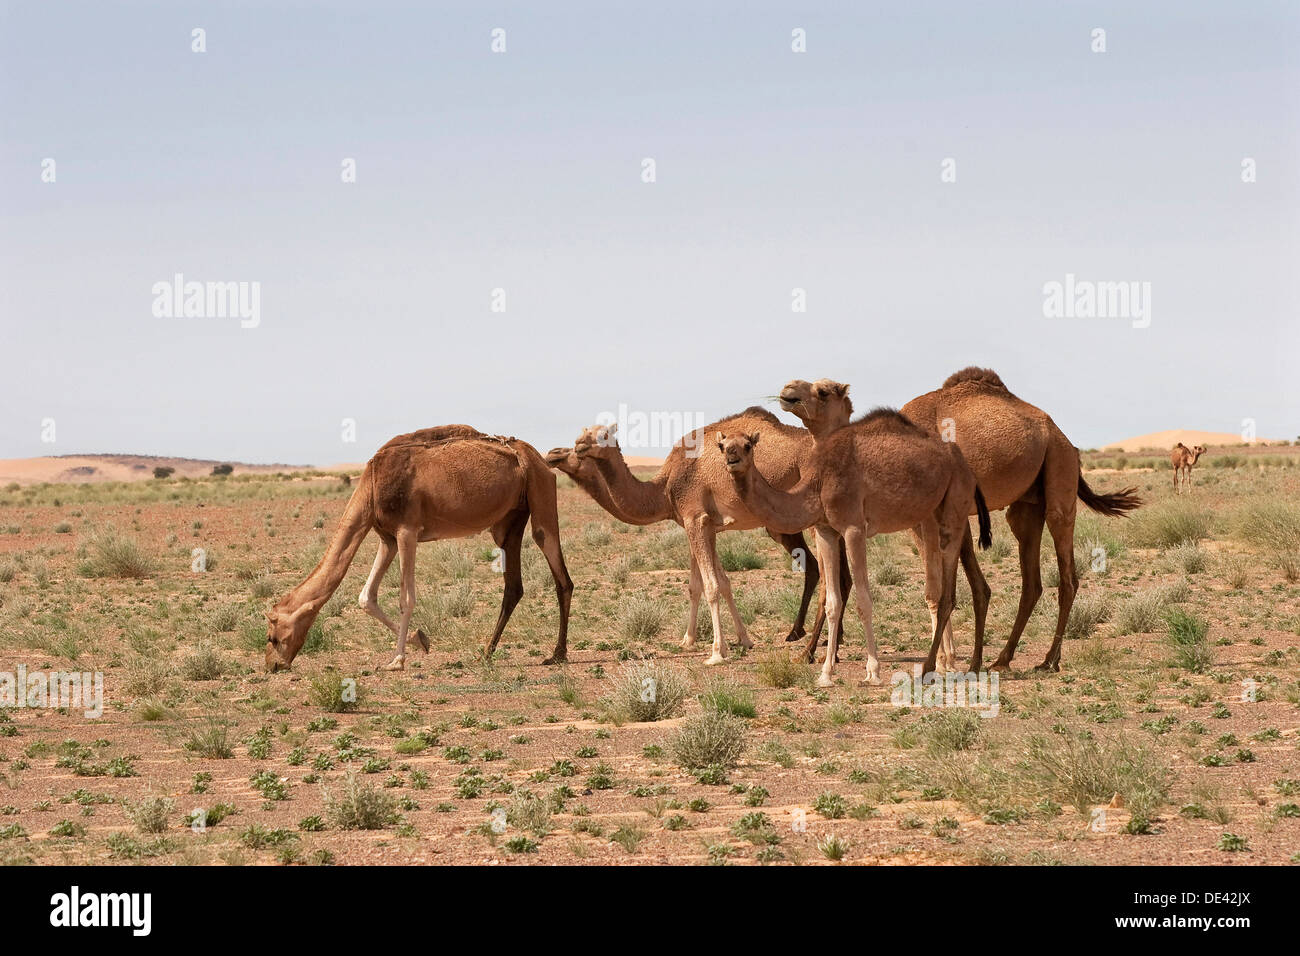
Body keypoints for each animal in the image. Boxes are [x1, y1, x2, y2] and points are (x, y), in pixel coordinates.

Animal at [265, 427, 573, 672]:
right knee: (514, 587)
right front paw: (420, 639)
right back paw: (487, 653)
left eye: (274, 636)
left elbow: (406, 598)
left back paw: (557, 654)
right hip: (511, 519)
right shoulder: (387, 538)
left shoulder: (407, 531)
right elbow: (366, 597)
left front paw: (397, 660)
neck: (371, 487)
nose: (272, 665)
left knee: (558, 570)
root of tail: (538, 458)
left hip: (540, 490)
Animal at [549, 408, 849, 666]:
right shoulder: (703, 525)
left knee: (825, 579)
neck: (664, 488)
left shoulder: (696, 519)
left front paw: (717, 651)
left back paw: (810, 650)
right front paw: (708, 640)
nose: (557, 451)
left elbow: (712, 586)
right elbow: (707, 585)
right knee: (839, 575)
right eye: (582, 434)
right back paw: (829, 645)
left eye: (602, 435)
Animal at [718, 411, 992, 687]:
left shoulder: (853, 528)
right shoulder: (826, 531)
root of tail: (965, 465)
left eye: (747, 445)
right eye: (722, 445)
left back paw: (929, 668)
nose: (732, 459)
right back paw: (969, 664)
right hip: (932, 513)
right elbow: (832, 603)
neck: (819, 481)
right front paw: (825, 673)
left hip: (954, 503)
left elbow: (863, 601)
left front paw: (872, 672)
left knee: (948, 595)